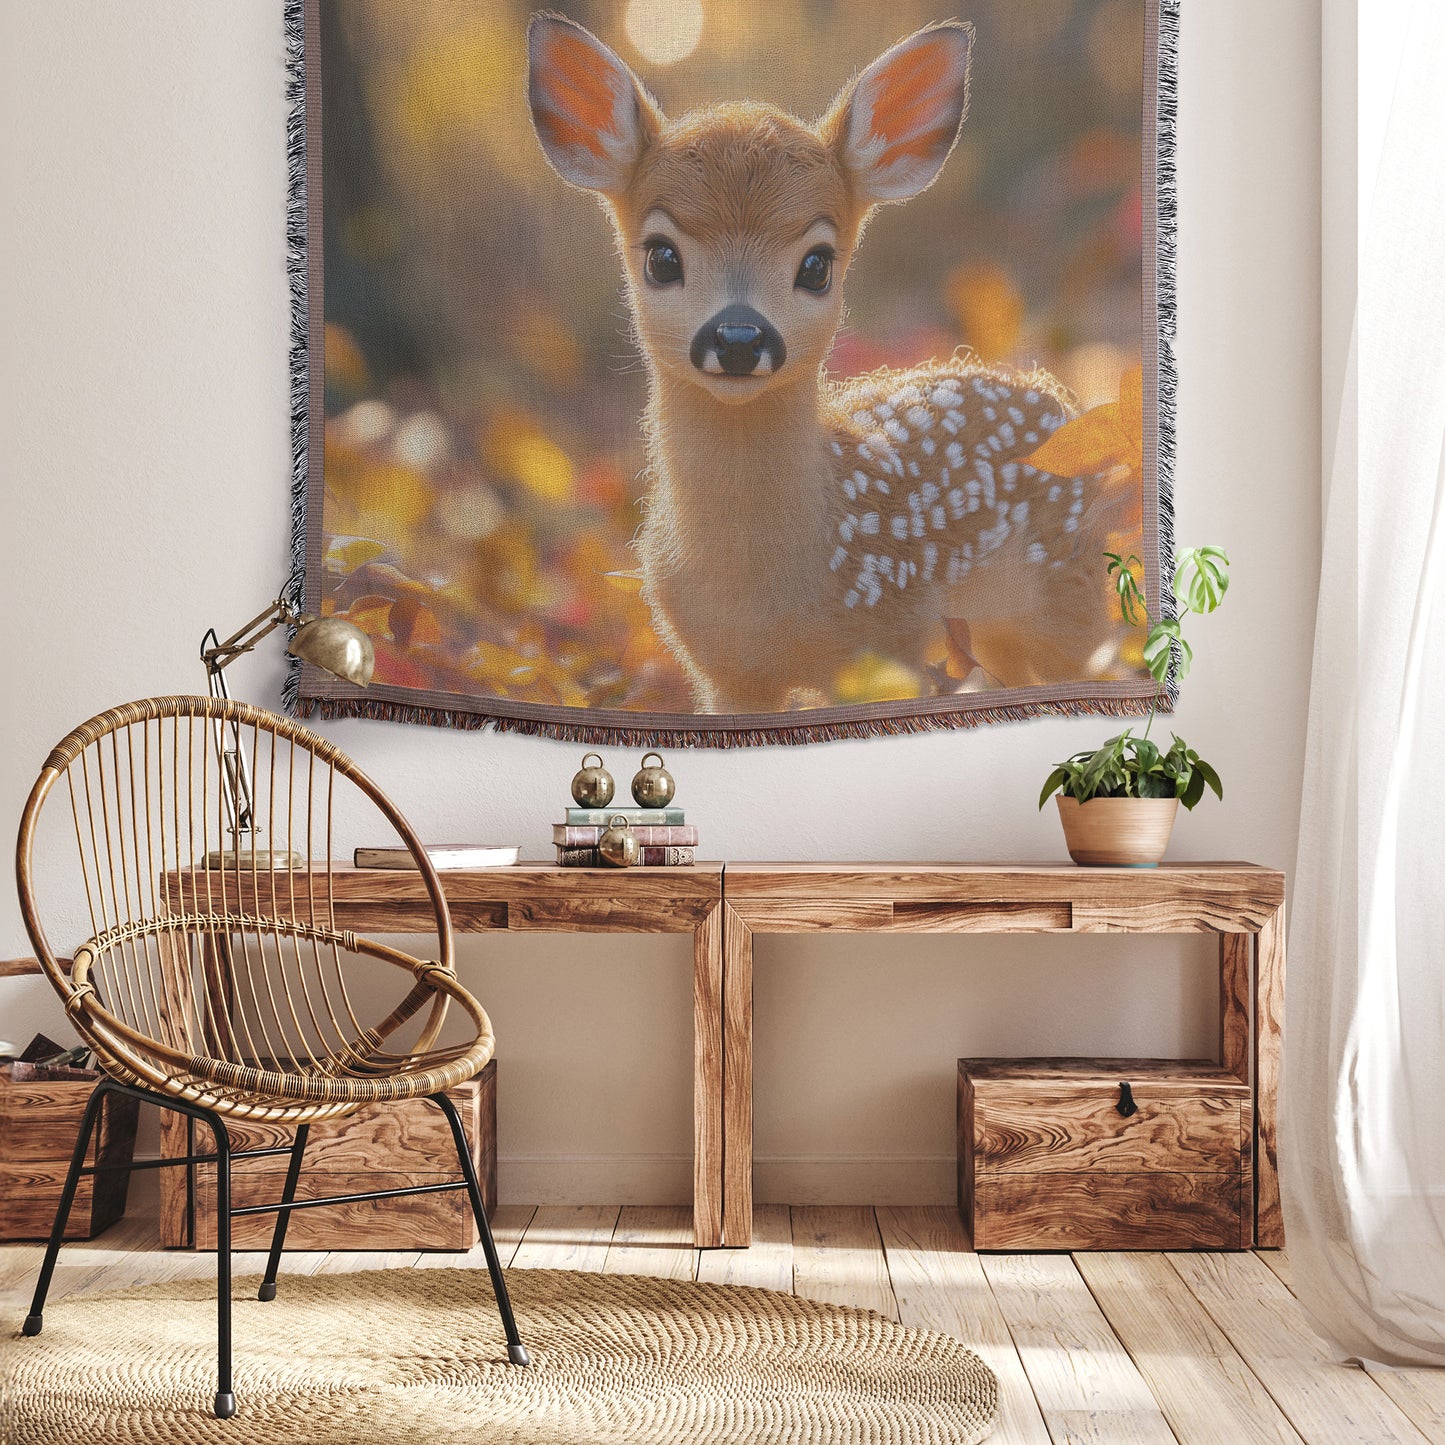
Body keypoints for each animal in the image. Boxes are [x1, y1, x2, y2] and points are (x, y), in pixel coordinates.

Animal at [526, 13, 1123, 713]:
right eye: (661, 256)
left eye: (817, 264)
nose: (738, 336)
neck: (764, 598)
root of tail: (1054, 395)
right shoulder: (724, 674)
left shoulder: (891, 632)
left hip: (1067, 593)